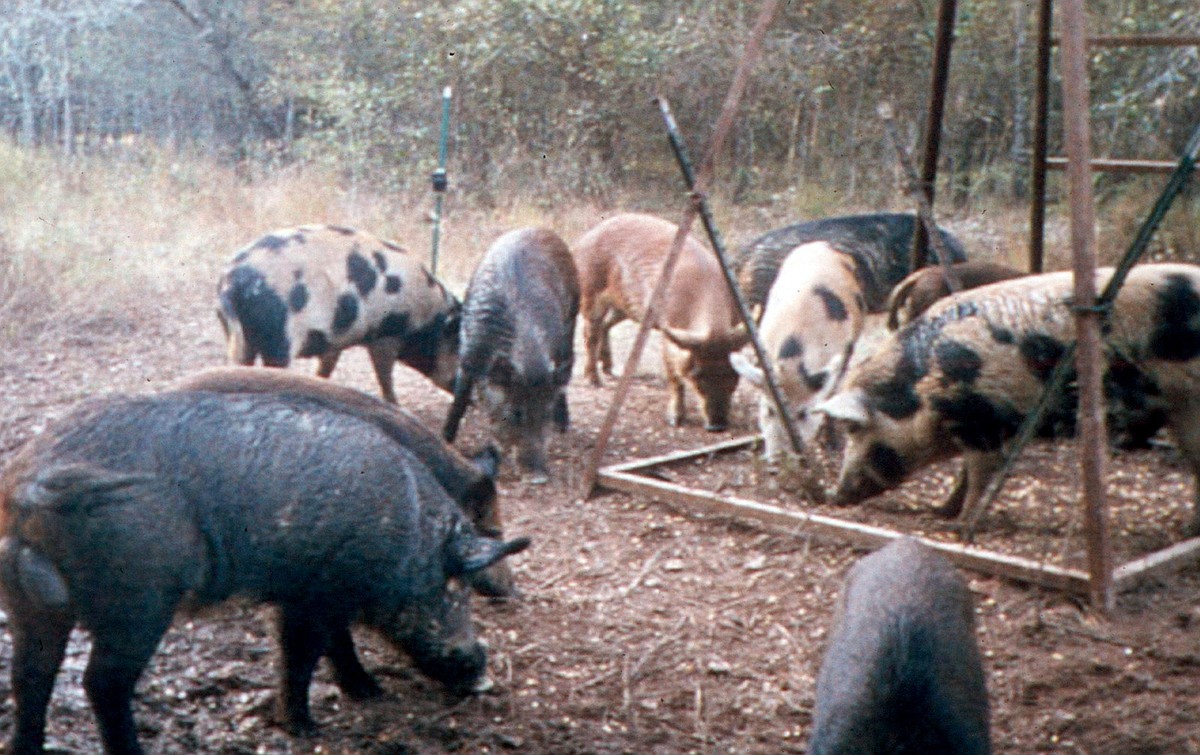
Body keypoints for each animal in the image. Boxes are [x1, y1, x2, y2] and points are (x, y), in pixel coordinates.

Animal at [0, 390, 530, 755]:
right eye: (454, 586)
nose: (480, 674)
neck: (406, 531)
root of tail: (29, 483)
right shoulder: (312, 594)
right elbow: (302, 653)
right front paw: (306, 727)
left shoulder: (319, 591)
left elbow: (336, 643)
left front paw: (367, 692)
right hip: (138, 599)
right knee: (101, 683)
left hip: (30, 603)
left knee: (30, 675)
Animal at [216, 224, 462, 403]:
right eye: (458, 346)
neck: (431, 318)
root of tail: (231, 282)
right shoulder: (386, 336)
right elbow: (385, 376)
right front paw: (395, 404)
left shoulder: (334, 339)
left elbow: (327, 366)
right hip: (279, 336)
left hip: (237, 335)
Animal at [442, 228, 580, 483]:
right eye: (516, 414)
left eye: (545, 414)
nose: (539, 477)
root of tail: (539, 229)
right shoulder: (467, 357)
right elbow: (459, 399)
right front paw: (445, 438)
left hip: (574, 316)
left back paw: (563, 427)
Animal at [573, 213, 749, 431]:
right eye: (697, 374)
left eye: (734, 373)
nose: (717, 426)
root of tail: (583, 238)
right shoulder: (670, 331)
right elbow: (674, 377)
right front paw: (675, 420)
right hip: (590, 291)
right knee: (590, 332)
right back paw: (595, 381)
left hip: (625, 307)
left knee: (605, 325)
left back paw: (611, 370)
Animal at [730, 242, 866, 459]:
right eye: (770, 410)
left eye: (803, 413)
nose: (777, 459)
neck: (792, 362)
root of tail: (820, 243)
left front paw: (831, 446)